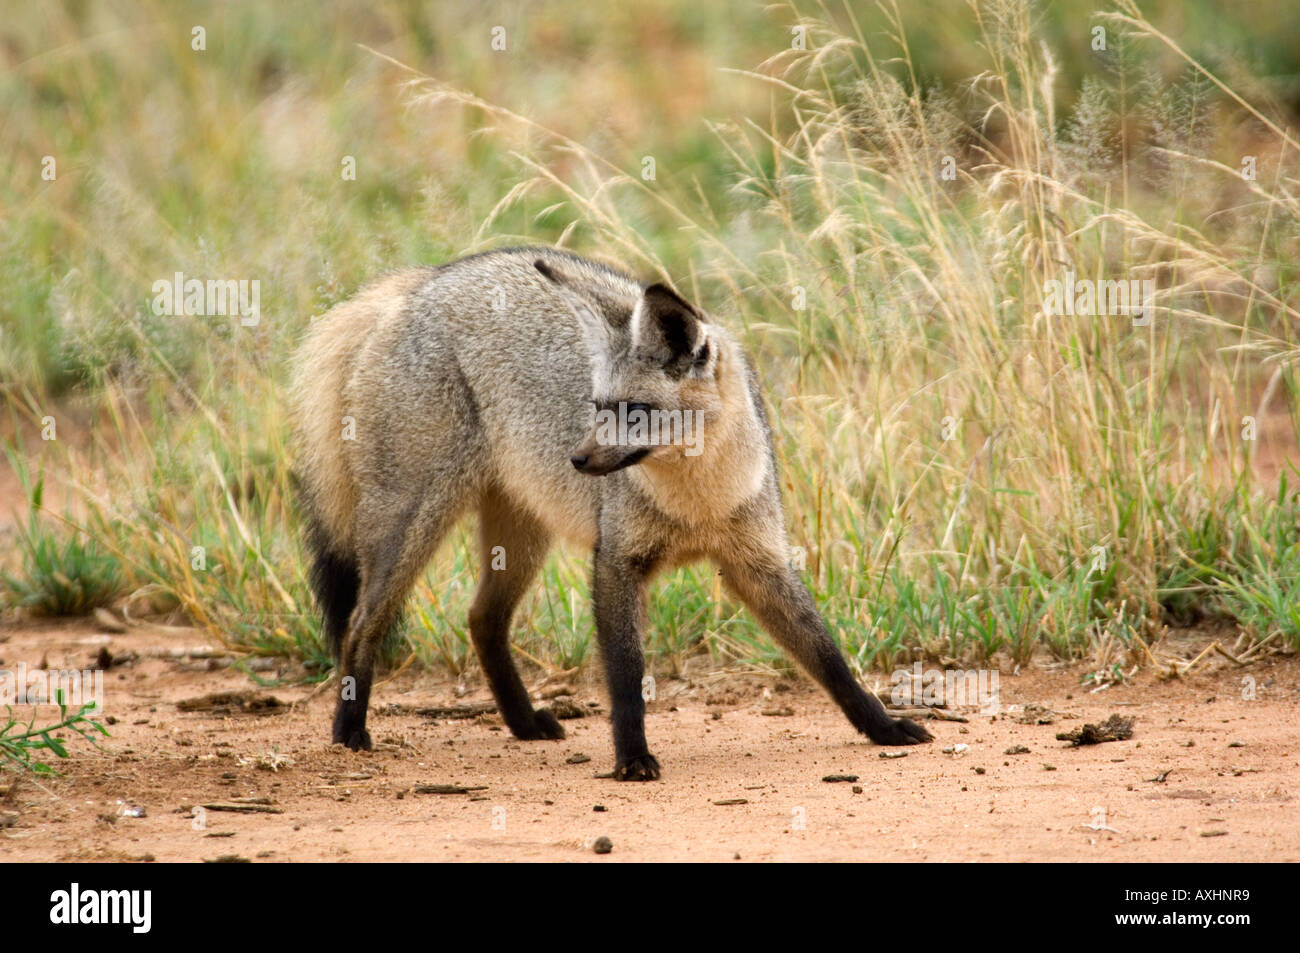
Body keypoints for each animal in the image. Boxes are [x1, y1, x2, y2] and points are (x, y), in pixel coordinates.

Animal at [290, 246, 931, 780]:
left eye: (636, 412)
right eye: (598, 406)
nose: (577, 458)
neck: (696, 505)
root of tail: (422, 280)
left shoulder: (758, 565)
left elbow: (829, 658)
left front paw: (881, 726)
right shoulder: (617, 563)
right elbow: (625, 678)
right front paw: (632, 758)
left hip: (518, 539)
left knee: (481, 620)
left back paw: (523, 723)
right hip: (413, 528)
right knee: (360, 624)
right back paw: (349, 732)